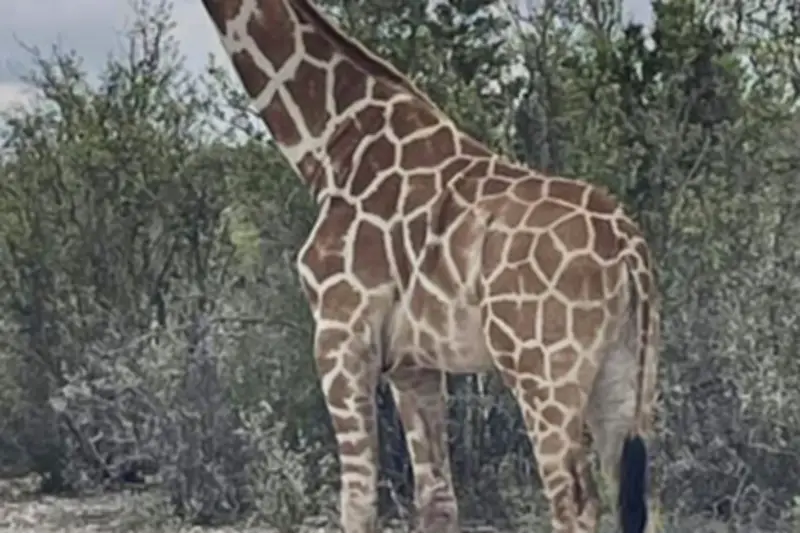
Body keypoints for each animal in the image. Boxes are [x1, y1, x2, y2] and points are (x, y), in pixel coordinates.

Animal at [199, 0, 660, 532]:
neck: (333, 145)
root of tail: (629, 248)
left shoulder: (340, 336)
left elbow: (357, 501)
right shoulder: (412, 363)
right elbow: (437, 499)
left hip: (544, 372)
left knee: (574, 502)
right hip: (627, 372)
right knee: (638, 498)